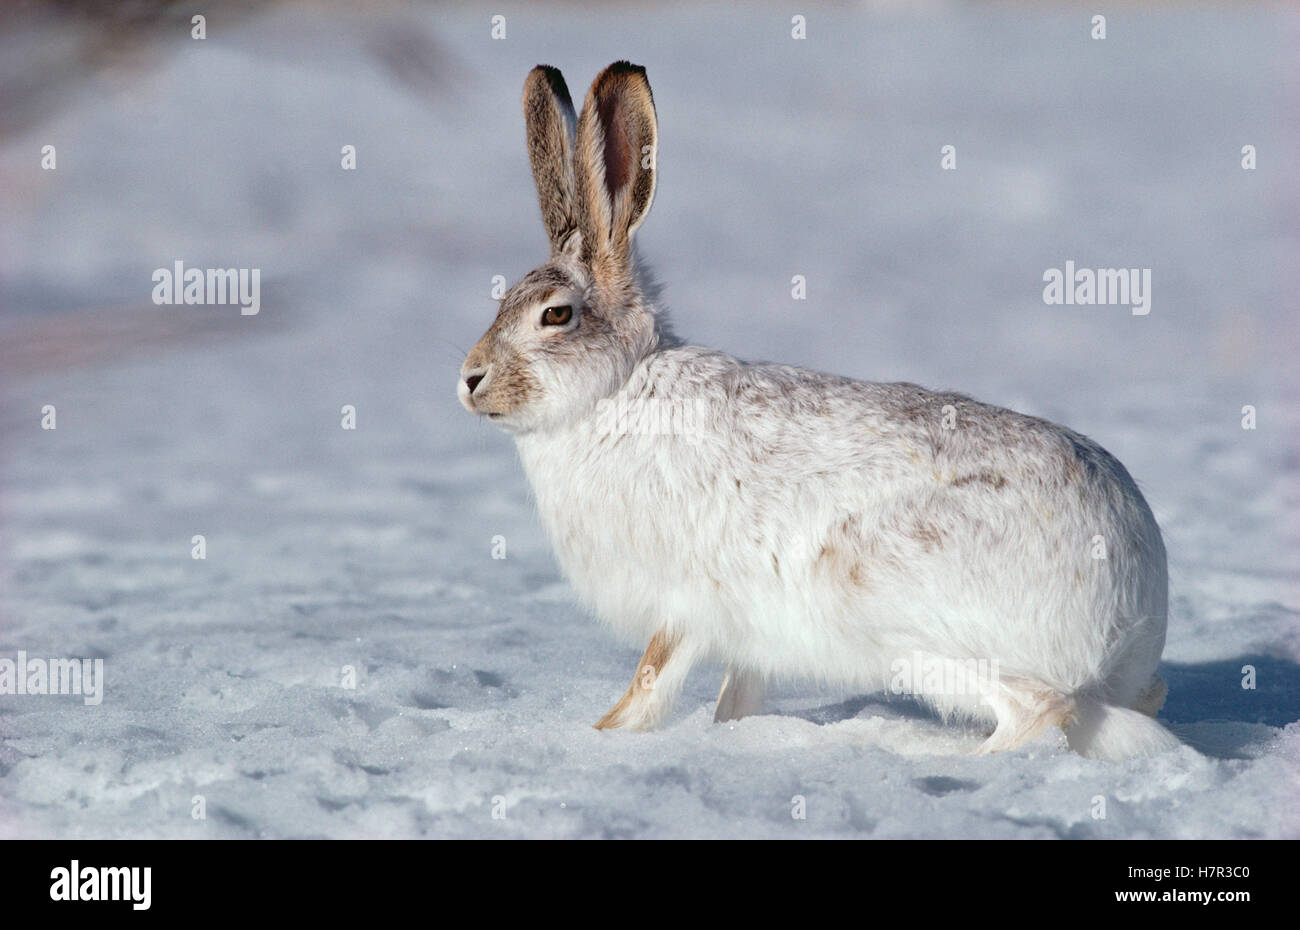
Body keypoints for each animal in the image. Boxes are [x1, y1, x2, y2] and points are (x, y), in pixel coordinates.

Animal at [458, 61, 1182, 761]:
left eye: (556, 315)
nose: (469, 380)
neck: (613, 393)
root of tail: (1133, 603)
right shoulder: (745, 636)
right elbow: (734, 695)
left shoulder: (685, 604)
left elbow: (648, 684)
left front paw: (601, 736)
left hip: (903, 614)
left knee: (1037, 711)